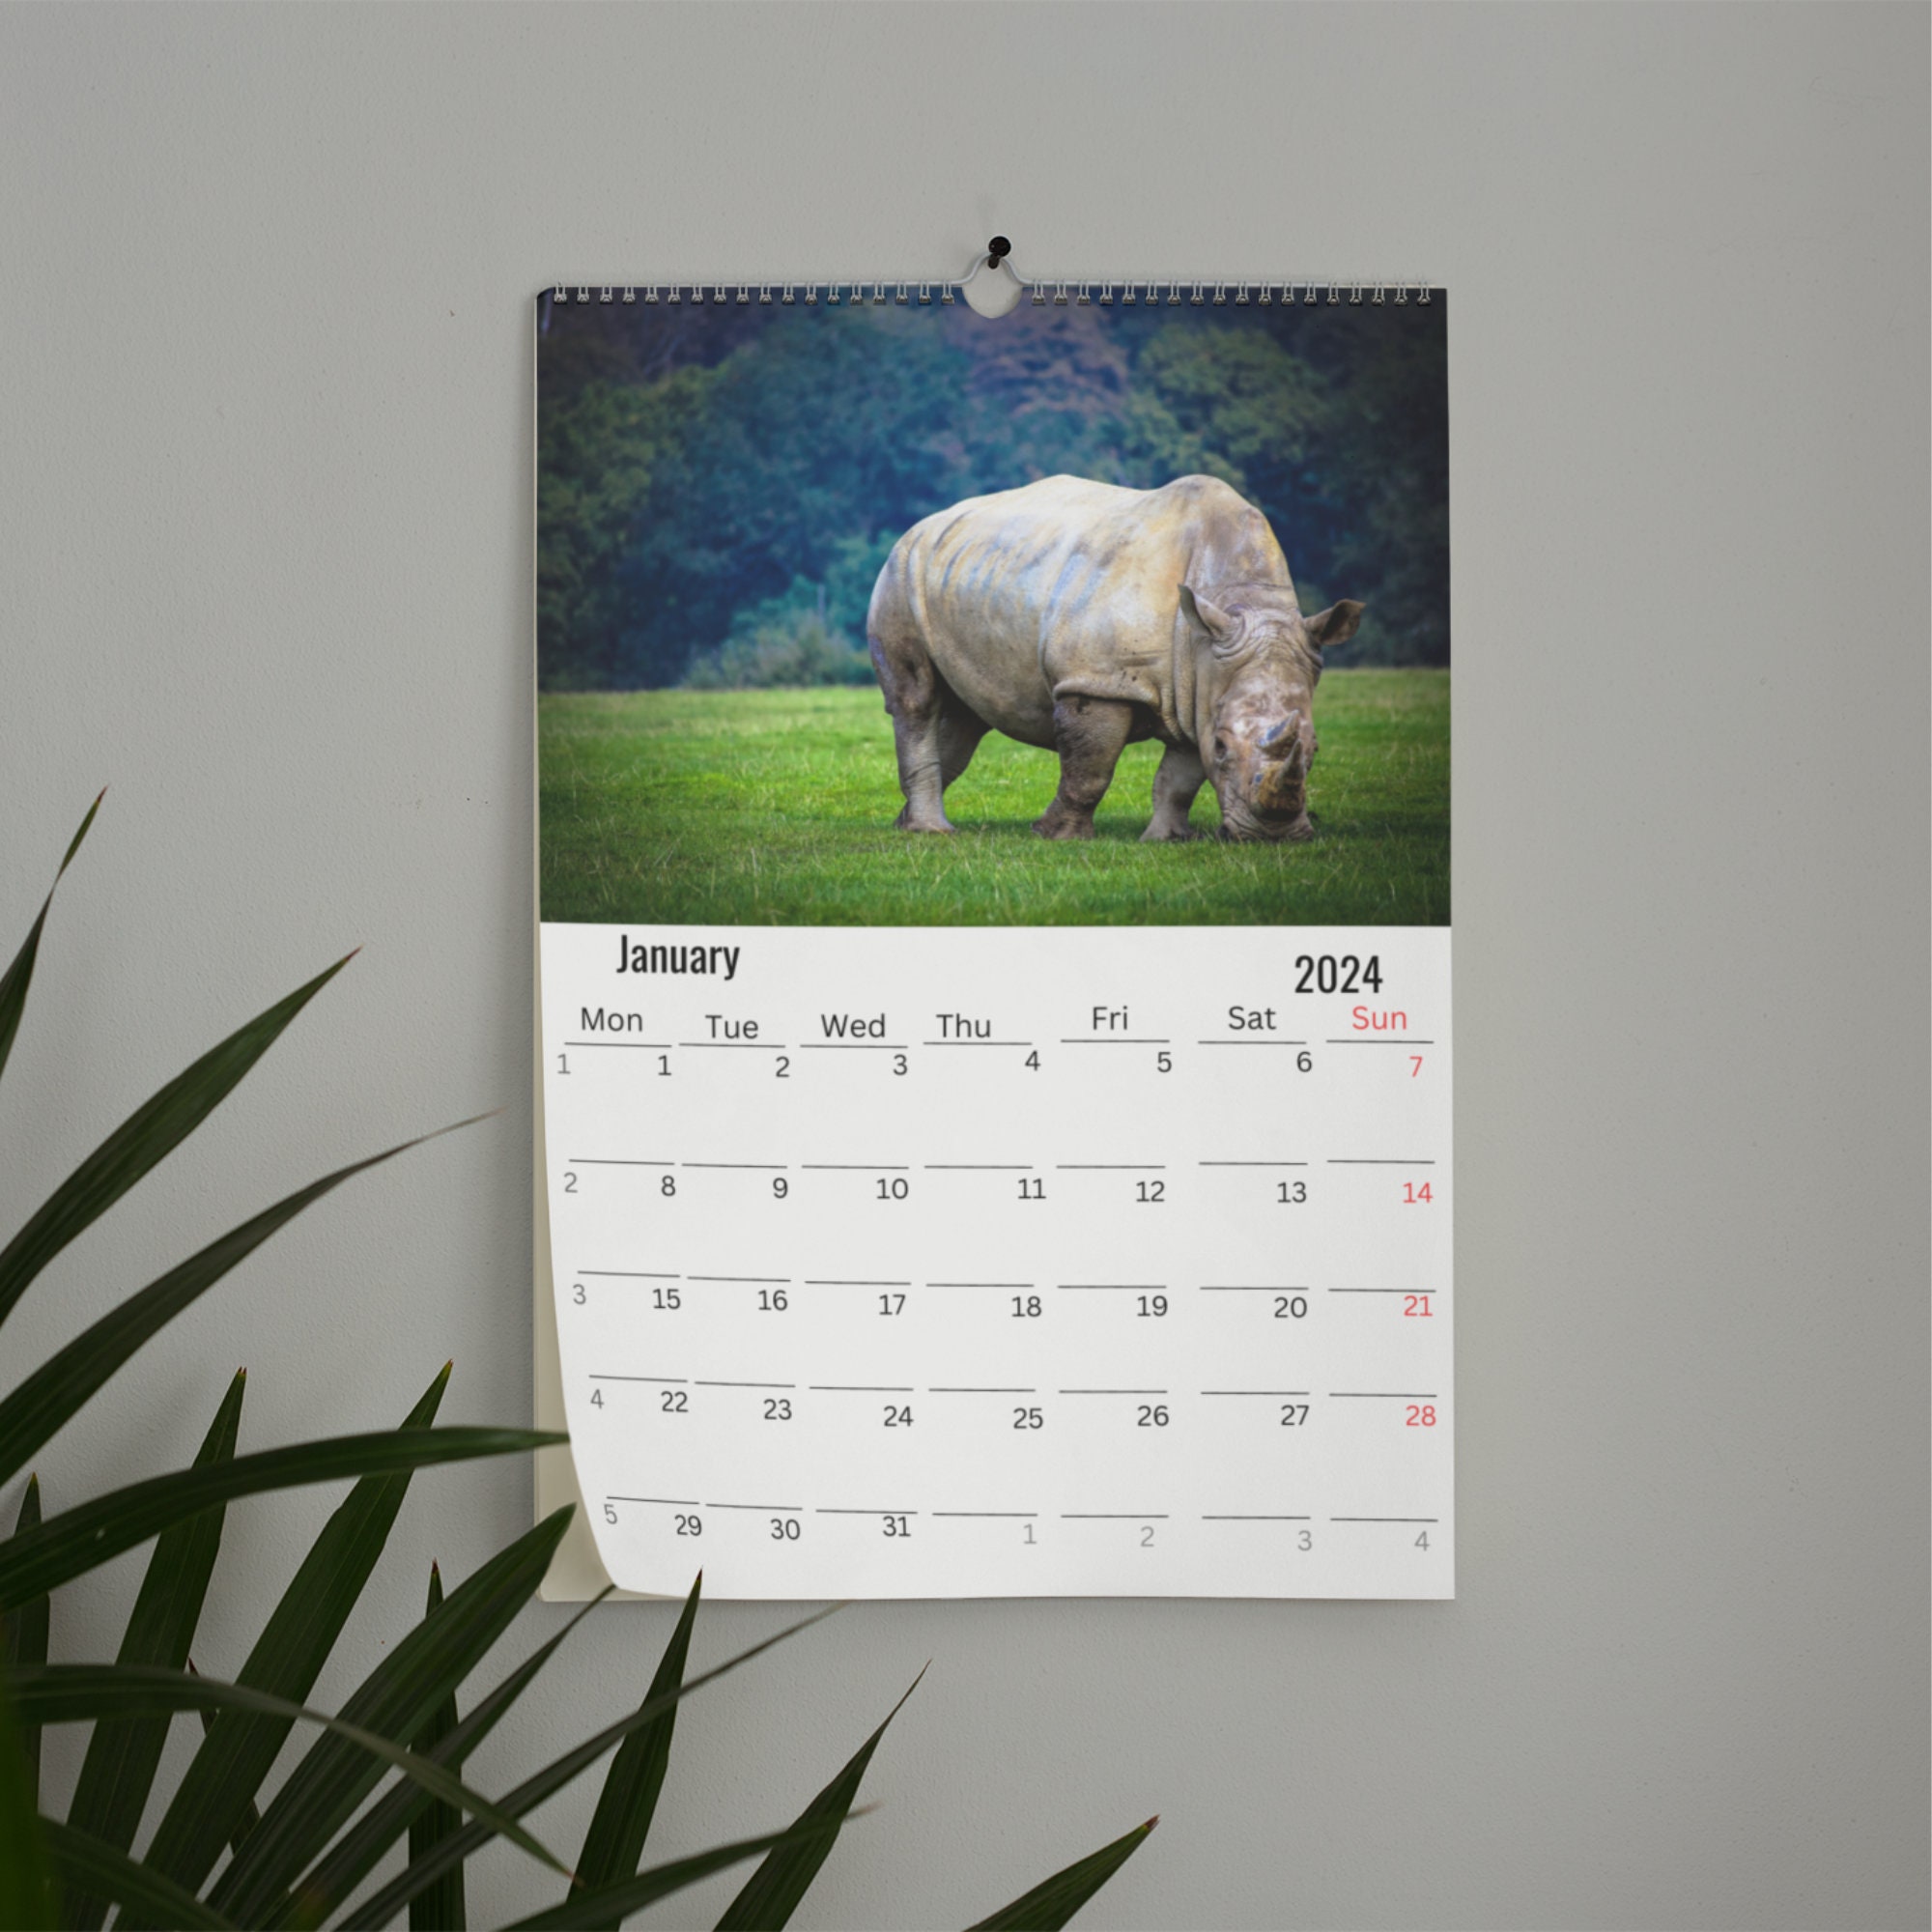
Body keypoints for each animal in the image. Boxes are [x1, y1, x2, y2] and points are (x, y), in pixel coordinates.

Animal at [867, 474, 1362, 842]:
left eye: (1315, 748)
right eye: (1224, 747)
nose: (1271, 836)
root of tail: (921, 525)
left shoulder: (1201, 687)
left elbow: (1179, 777)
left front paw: (1166, 840)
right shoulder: (1098, 680)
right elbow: (1091, 768)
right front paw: (1056, 836)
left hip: (964, 572)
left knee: (968, 715)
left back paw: (905, 824)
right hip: (899, 574)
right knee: (916, 700)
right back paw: (932, 832)